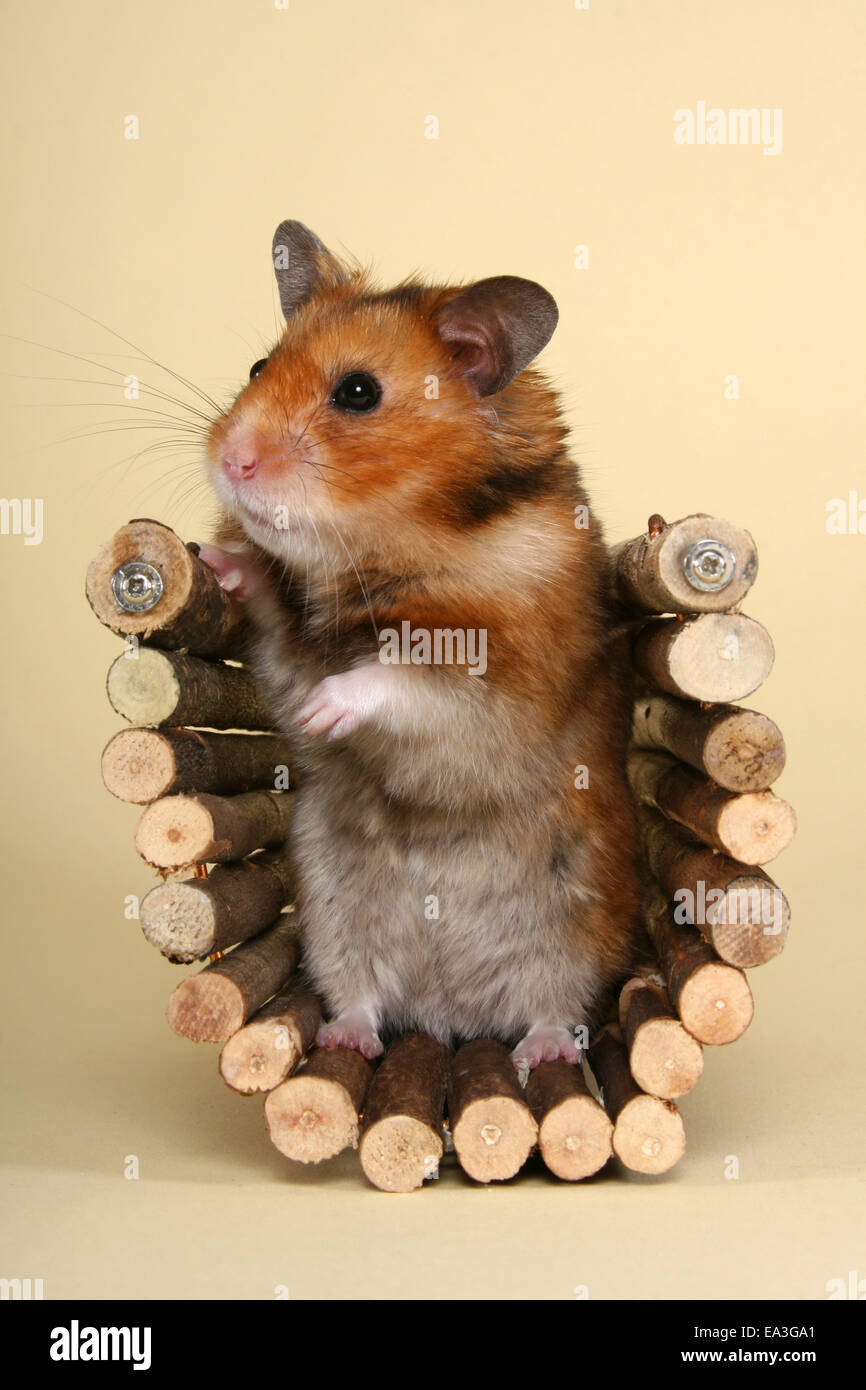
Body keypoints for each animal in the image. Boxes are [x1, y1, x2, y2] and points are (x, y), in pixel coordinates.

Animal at [201, 219, 641, 1069]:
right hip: (335, 917)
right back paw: (346, 1037)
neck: (392, 548)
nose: (230, 461)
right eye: (258, 366)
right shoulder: (287, 649)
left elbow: (399, 675)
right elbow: (276, 616)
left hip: (573, 934)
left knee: (551, 1004)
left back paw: (542, 1054)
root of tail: (450, 1019)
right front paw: (217, 562)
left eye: (358, 392)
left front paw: (323, 710)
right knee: (362, 997)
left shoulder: (498, 688)